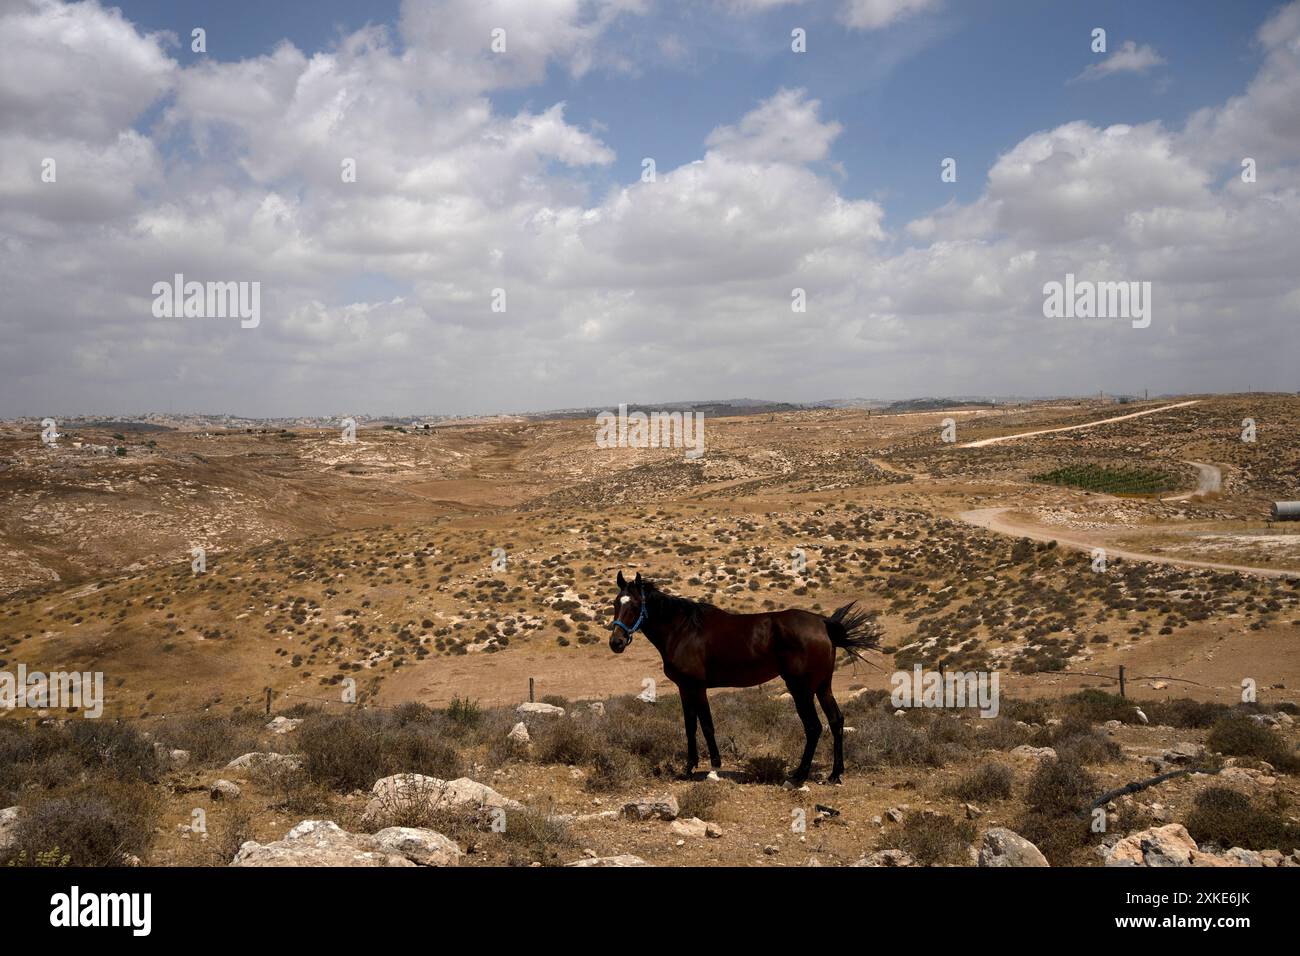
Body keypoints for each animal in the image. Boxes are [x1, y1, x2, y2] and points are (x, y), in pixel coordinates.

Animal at [607, 570, 881, 784]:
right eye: (615, 604)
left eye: (634, 605)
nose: (616, 643)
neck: (682, 630)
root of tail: (823, 624)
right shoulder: (686, 688)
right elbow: (691, 726)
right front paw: (691, 767)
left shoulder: (696, 687)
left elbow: (705, 725)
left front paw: (711, 767)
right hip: (823, 687)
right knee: (836, 721)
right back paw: (835, 774)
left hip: (801, 688)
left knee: (813, 726)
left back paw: (798, 776)